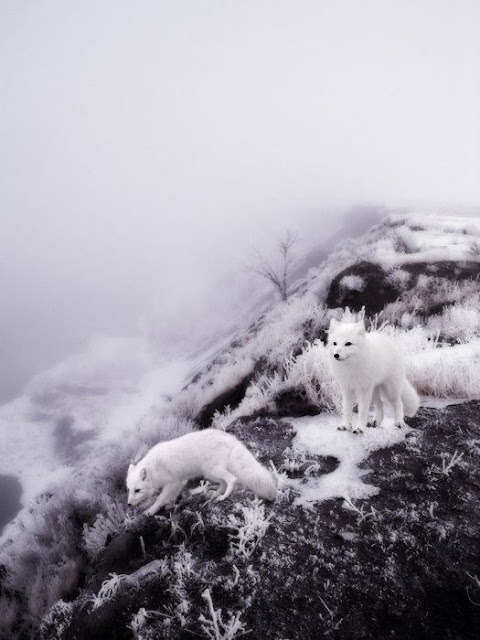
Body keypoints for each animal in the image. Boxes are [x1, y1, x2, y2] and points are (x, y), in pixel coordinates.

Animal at [126, 428, 277, 516]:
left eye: (137, 490)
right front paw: (170, 505)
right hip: (210, 473)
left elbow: (160, 498)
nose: (128, 504)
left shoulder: (172, 482)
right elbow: (172, 496)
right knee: (223, 483)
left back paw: (223, 497)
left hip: (212, 470)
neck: (154, 469)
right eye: (129, 489)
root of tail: (230, 438)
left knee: (232, 479)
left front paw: (150, 511)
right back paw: (214, 495)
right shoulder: (179, 482)